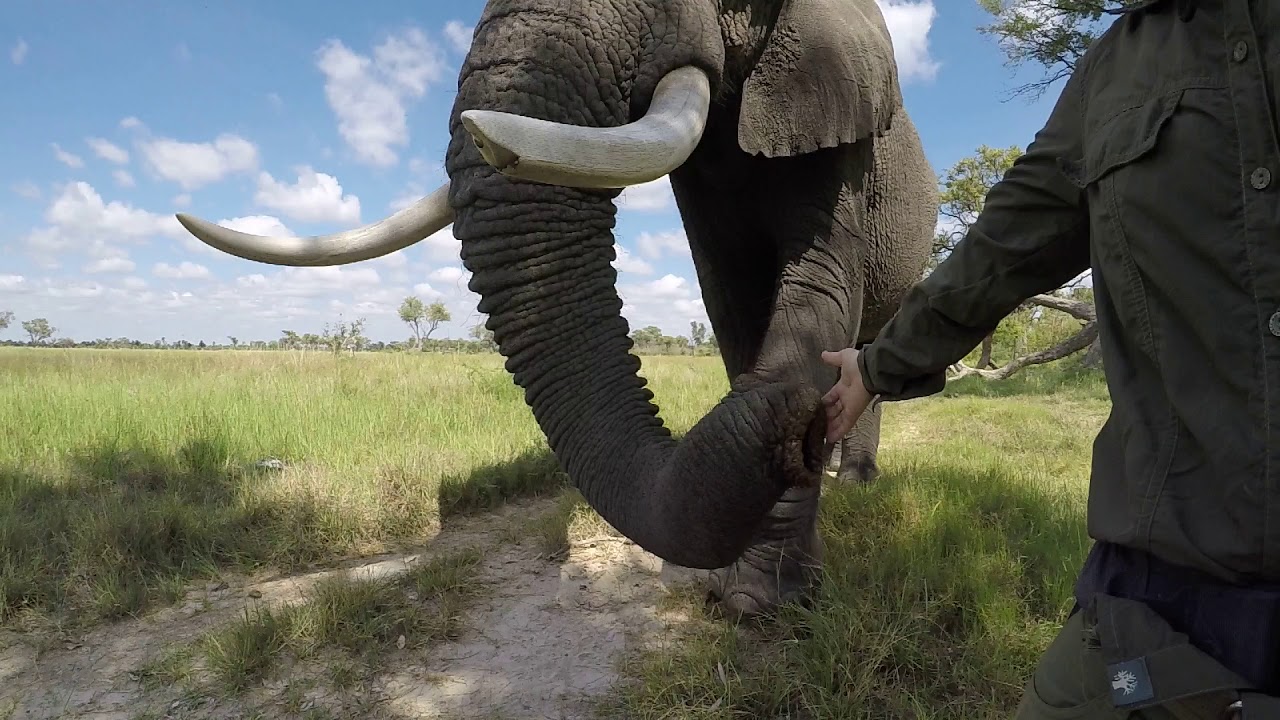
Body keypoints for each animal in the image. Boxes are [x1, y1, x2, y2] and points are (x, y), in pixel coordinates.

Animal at [175, 0, 937, 618]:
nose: (798, 421)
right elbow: (732, 304)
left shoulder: (837, 125)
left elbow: (814, 291)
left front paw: (758, 602)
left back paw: (855, 481)